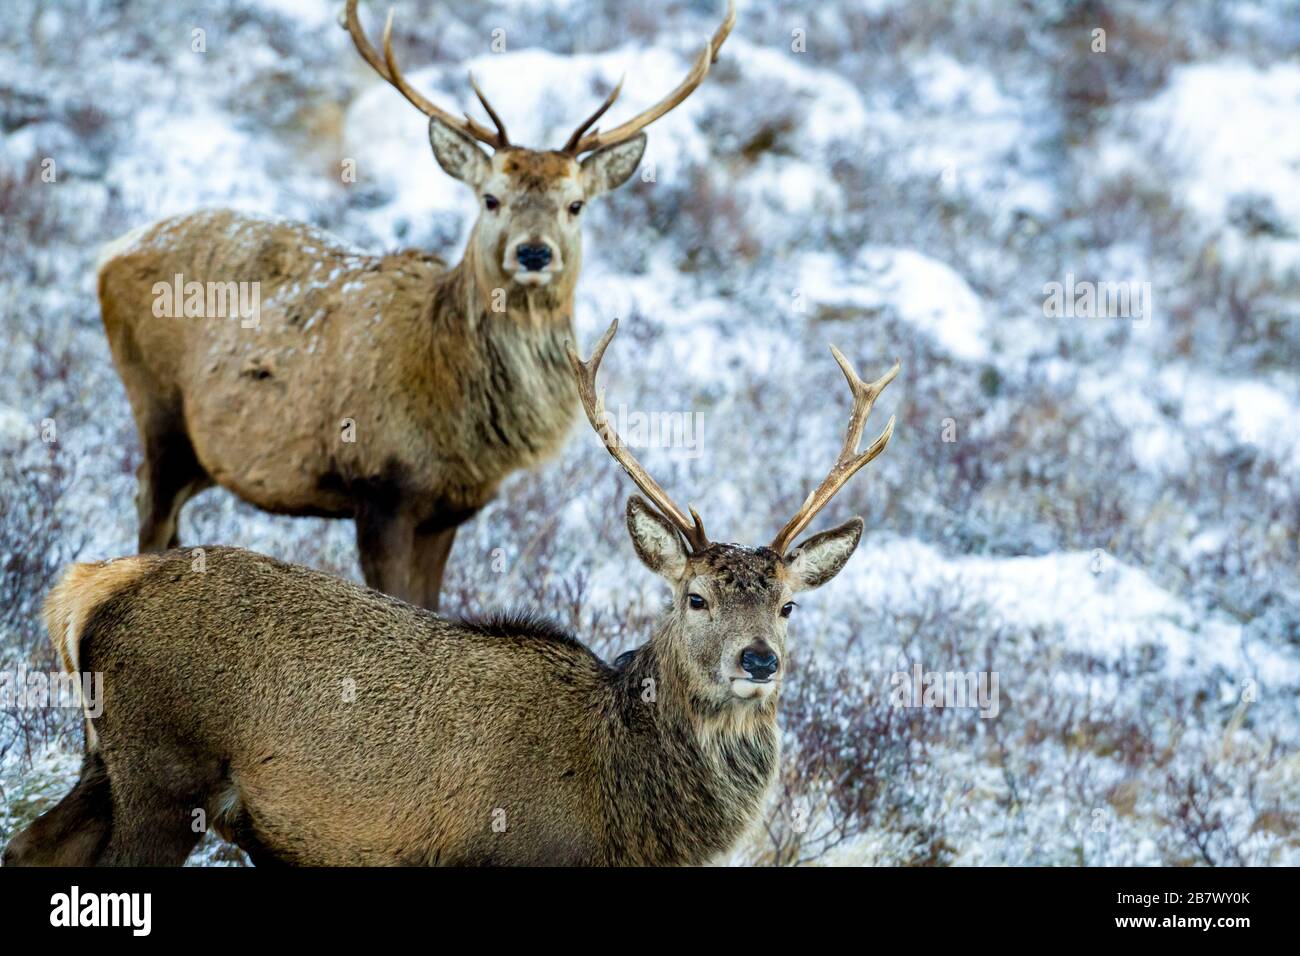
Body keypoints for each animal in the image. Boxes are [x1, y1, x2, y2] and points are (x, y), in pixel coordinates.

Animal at [3, 321, 899, 867]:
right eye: (696, 598)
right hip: (163, 767)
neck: (627, 813)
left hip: (106, 757)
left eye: (788, 604)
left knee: (31, 844)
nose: (759, 660)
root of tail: (87, 587)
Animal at [94, 0, 735, 609]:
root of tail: (110, 254)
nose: (533, 252)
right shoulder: (382, 490)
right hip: (159, 410)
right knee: (148, 507)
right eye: (490, 198)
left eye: (575, 204)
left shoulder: (449, 509)